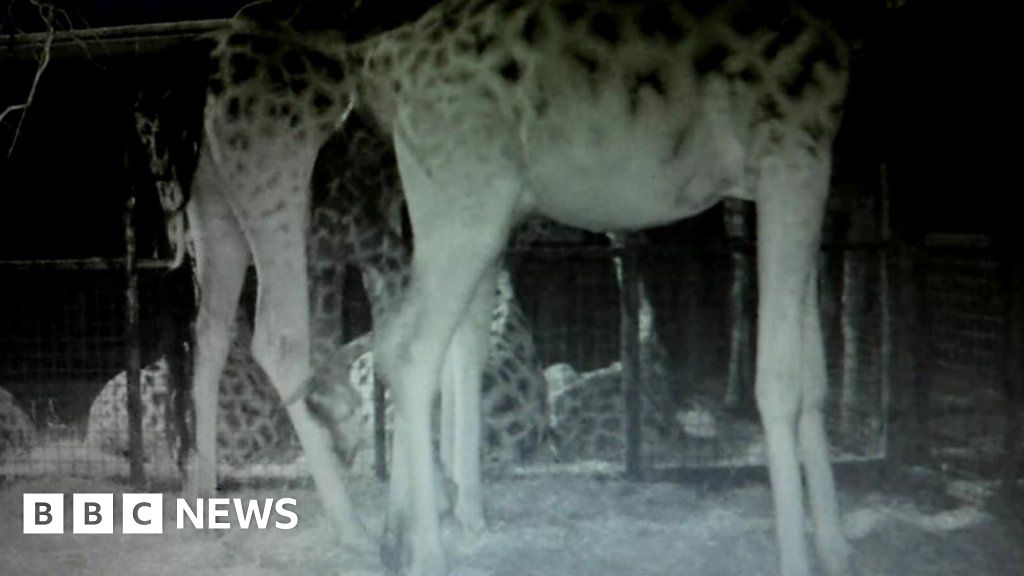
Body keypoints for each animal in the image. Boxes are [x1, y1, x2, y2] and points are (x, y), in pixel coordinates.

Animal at [185, 1, 852, 575]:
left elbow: (816, 378)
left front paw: (836, 547)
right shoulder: (792, 146)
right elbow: (782, 380)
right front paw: (802, 557)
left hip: (235, 205)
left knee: (219, 330)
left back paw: (222, 499)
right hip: (318, 186)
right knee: (319, 339)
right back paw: (379, 534)